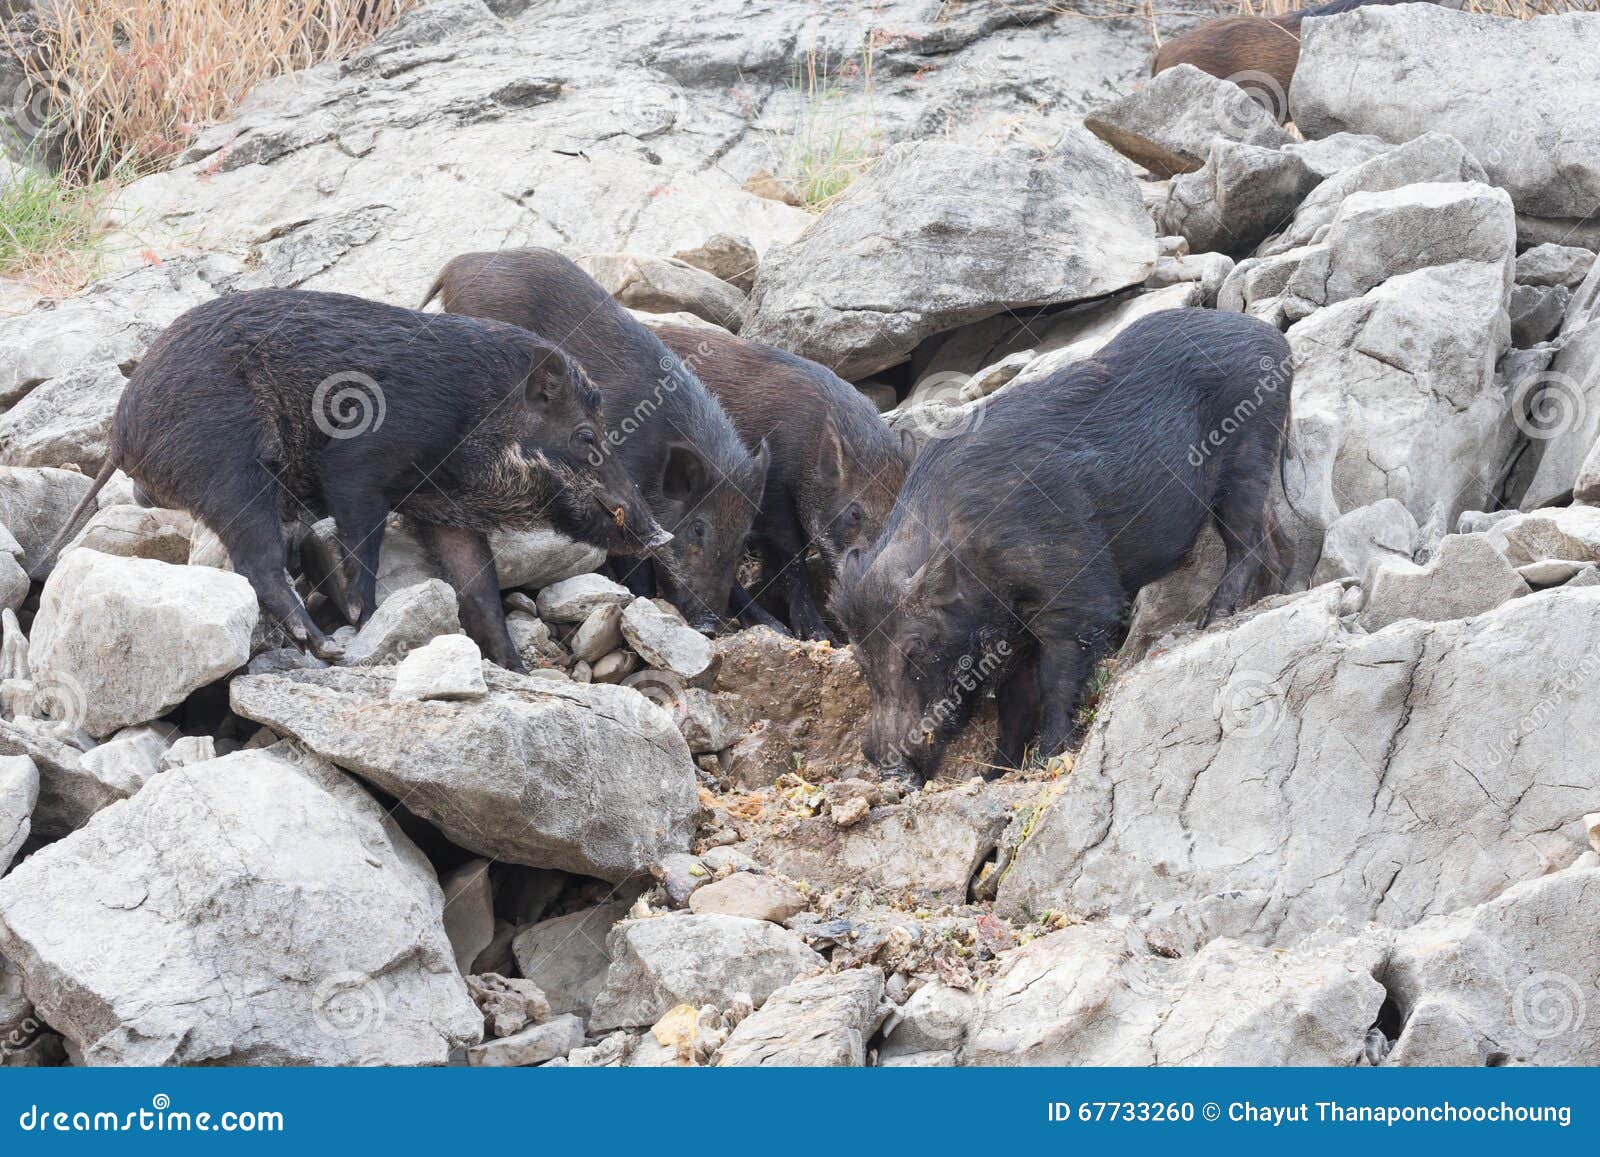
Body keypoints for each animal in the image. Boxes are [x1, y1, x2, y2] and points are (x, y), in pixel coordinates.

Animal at [36, 288, 667, 669]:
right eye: (585, 437)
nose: (659, 533)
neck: (476, 416)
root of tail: (121, 432)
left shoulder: (444, 510)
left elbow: (479, 586)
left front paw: (513, 668)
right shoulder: (356, 467)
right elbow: (362, 536)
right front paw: (362, 617)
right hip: (228, 470)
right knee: (256, 564)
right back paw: (321, 647)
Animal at [422, 249, 769, 635]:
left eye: (744, 536)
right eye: (698, 529)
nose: (709, 624)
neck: (657, 452)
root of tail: (455, 266)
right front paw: (642, 599)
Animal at [831, 308, 1292, 785]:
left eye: (916, 649)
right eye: (861, 661)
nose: (890, 768)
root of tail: (1273, 339)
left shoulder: (1077, 594)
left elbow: (1057, 679)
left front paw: (1048, 757)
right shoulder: (1013, 634)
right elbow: (1014, 704)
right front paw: (997, 773)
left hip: (1247, 460)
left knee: (1247, 545)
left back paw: (1212, 620)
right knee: (1278, 542)